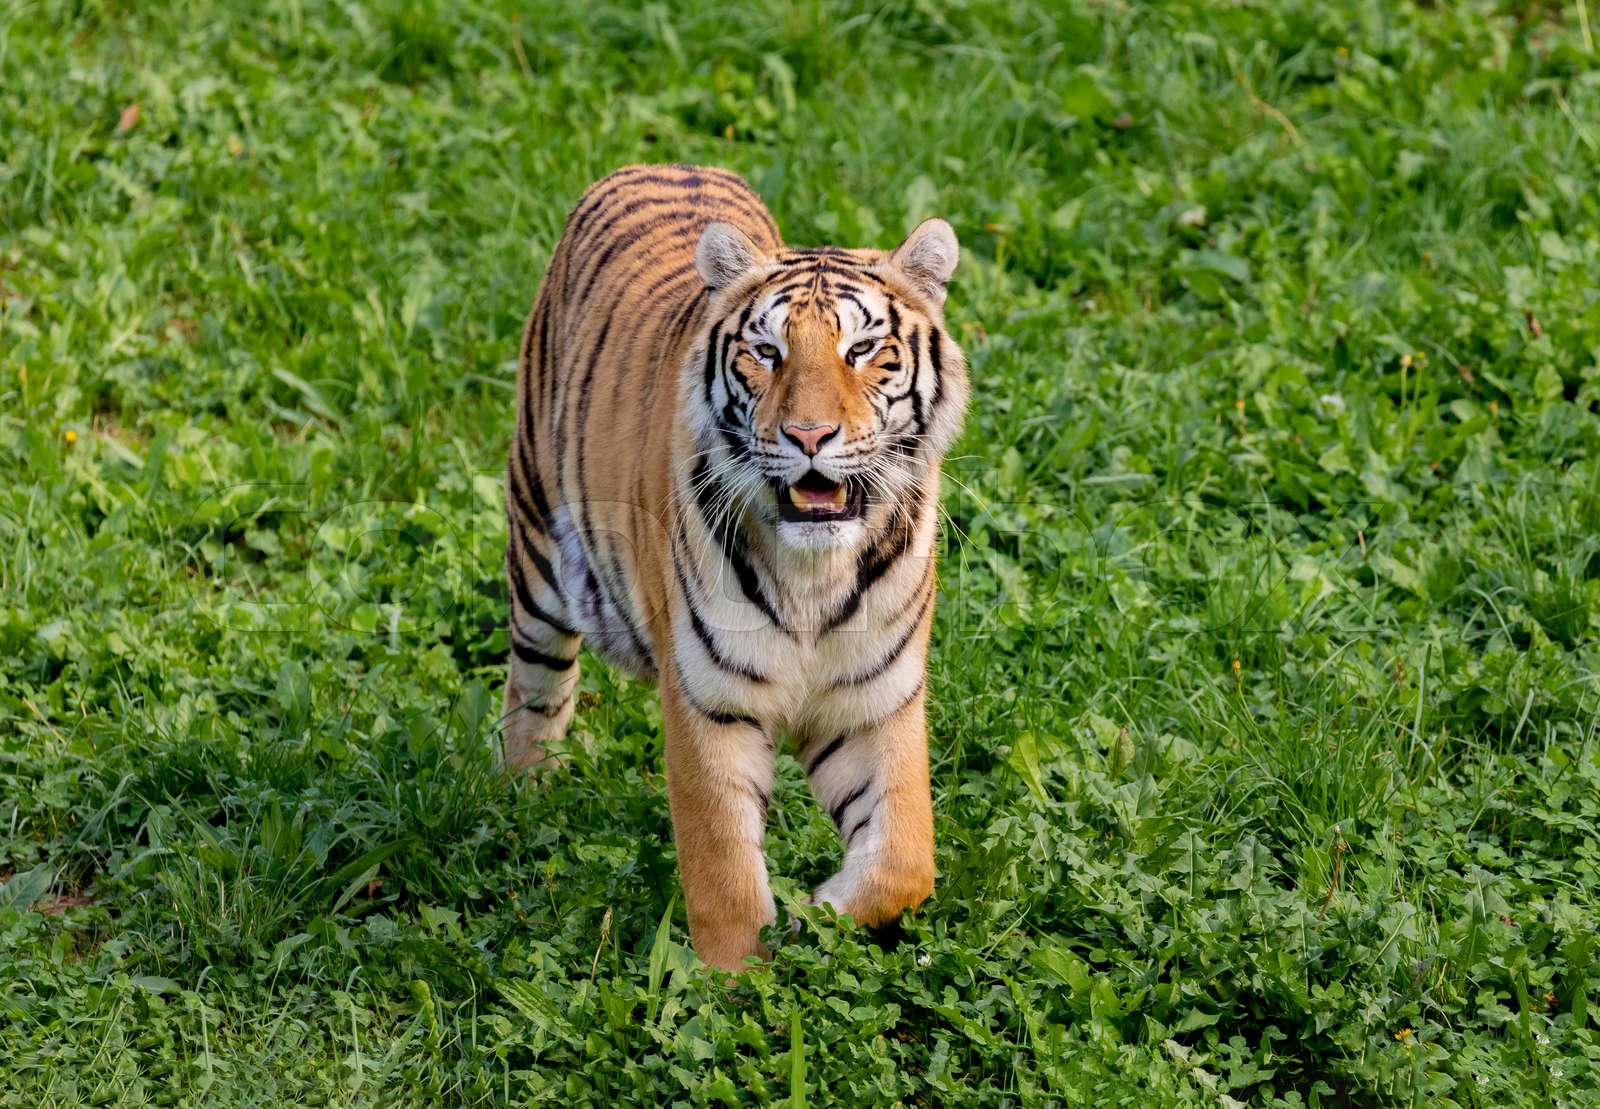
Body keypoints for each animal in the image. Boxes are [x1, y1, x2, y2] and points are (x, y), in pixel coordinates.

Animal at [502, 163, 967, 970]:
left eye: (862, 350)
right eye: (768, 353)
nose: (809, 434)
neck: (814, 574)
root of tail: (660, 164)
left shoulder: (876, 702)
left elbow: (905, 863)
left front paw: (816, 915)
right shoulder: (709, 701)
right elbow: (723, 874)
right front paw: (732, 984)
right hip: (537, 544)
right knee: (534, 684)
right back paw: (523, 796)